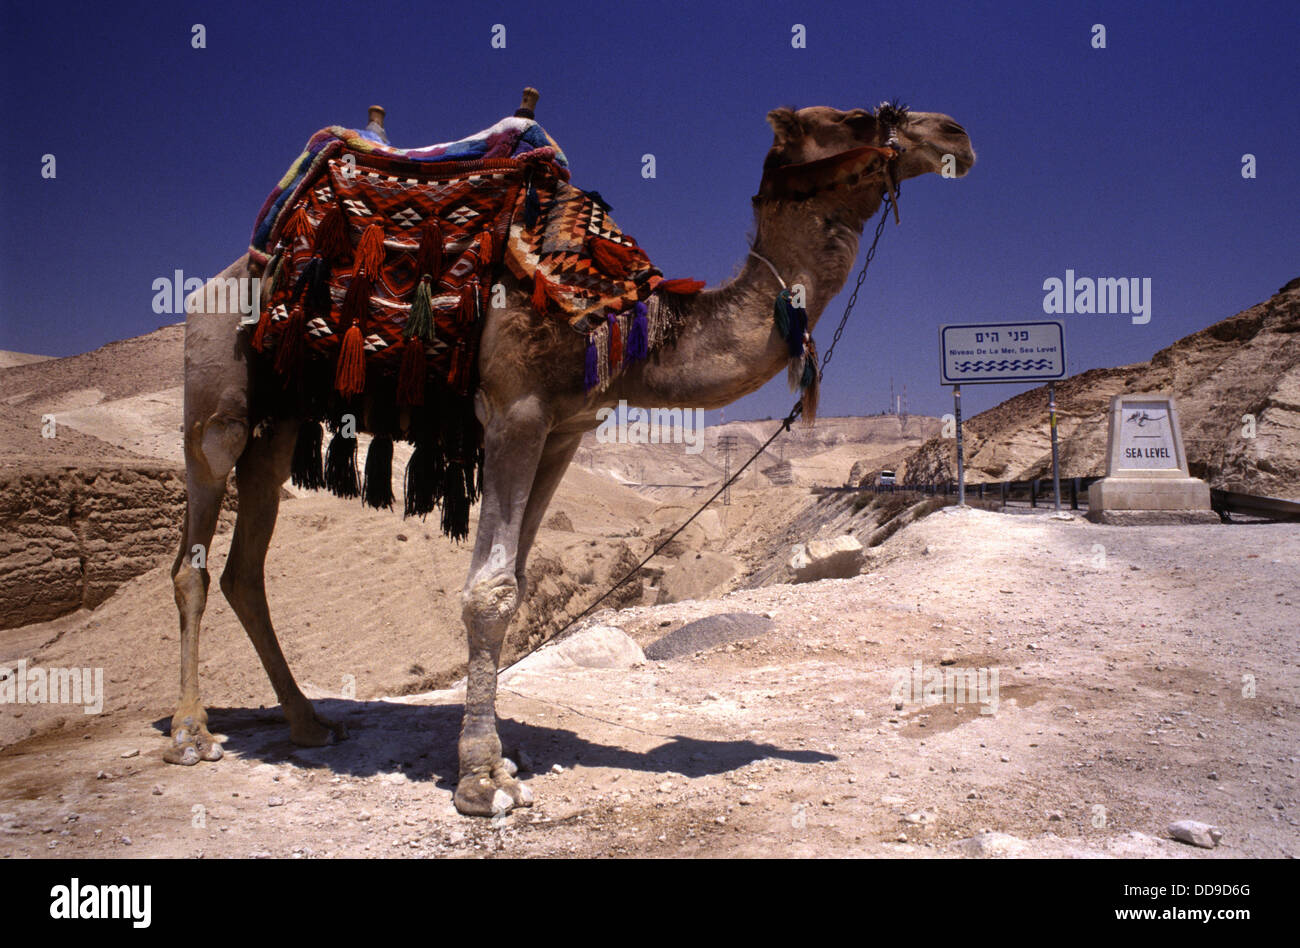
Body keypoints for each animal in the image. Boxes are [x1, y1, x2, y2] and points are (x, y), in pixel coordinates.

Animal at [168, 98, 974, 816]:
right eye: (854, 118)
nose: (955, 134)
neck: (631, 322)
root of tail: (228, 272)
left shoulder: (564, 429)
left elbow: (515, 583)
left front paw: (500, 757)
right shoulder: (516, 410)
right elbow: (487, 592)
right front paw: (479, 781)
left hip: (282, 418)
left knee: (245, 565)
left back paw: (309, 723)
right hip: (218, 396)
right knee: (195, 553)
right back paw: (191, 734)